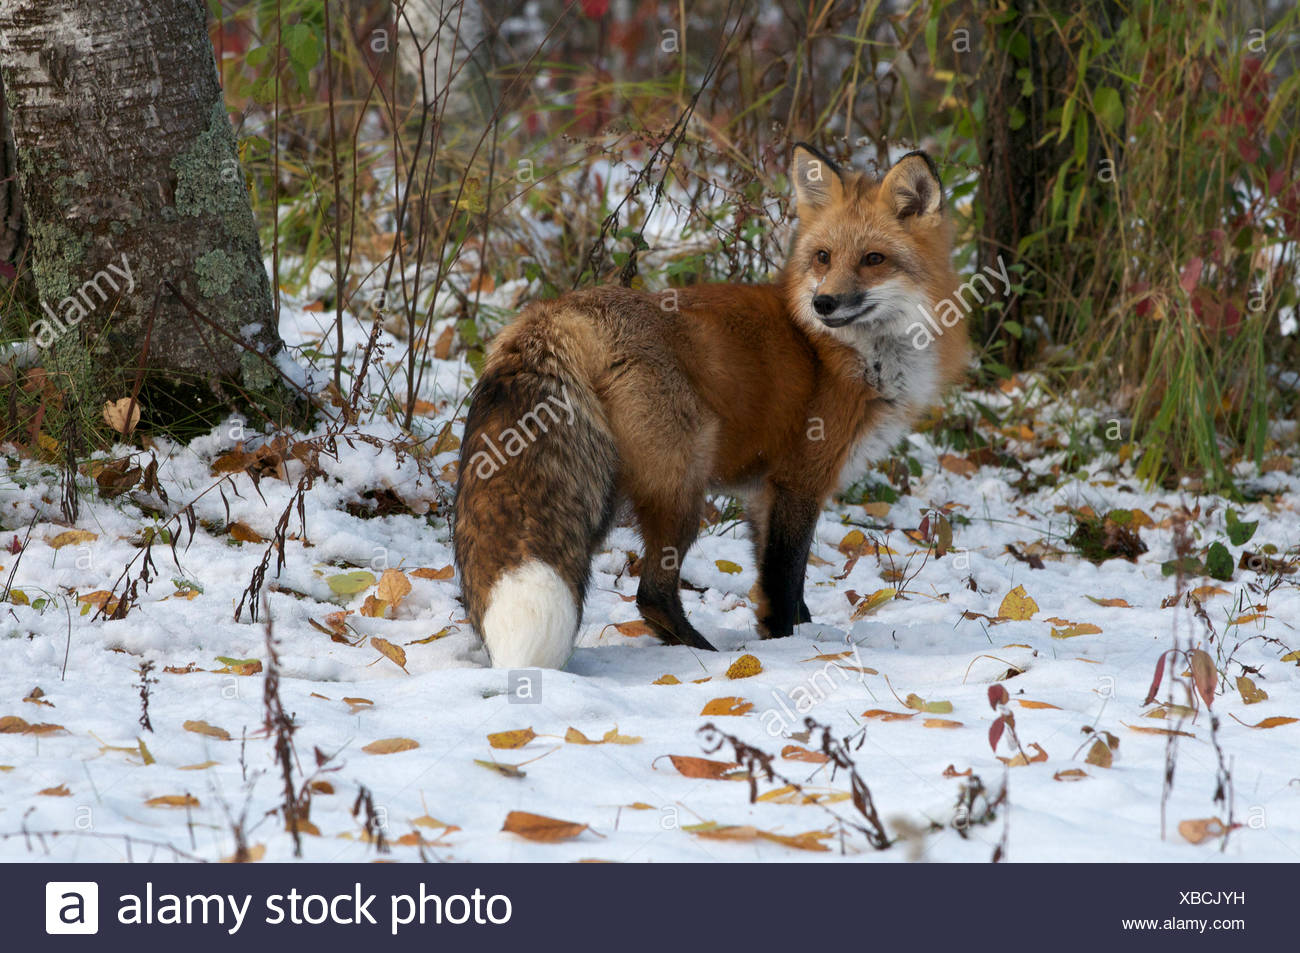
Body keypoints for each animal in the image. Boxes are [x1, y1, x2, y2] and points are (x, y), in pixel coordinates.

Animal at [453, 144, 967, 669]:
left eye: (873, 259)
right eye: (824, 257)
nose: (824, 303)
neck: (839, 350)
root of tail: (559, 312)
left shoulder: (764, 491)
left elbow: (777, 582)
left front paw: (798, 632)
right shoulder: (801, 480)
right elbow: (784, 578)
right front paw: (785, 643)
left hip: (603, 488)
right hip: (683, 481)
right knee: (652, 594)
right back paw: (704, 652)